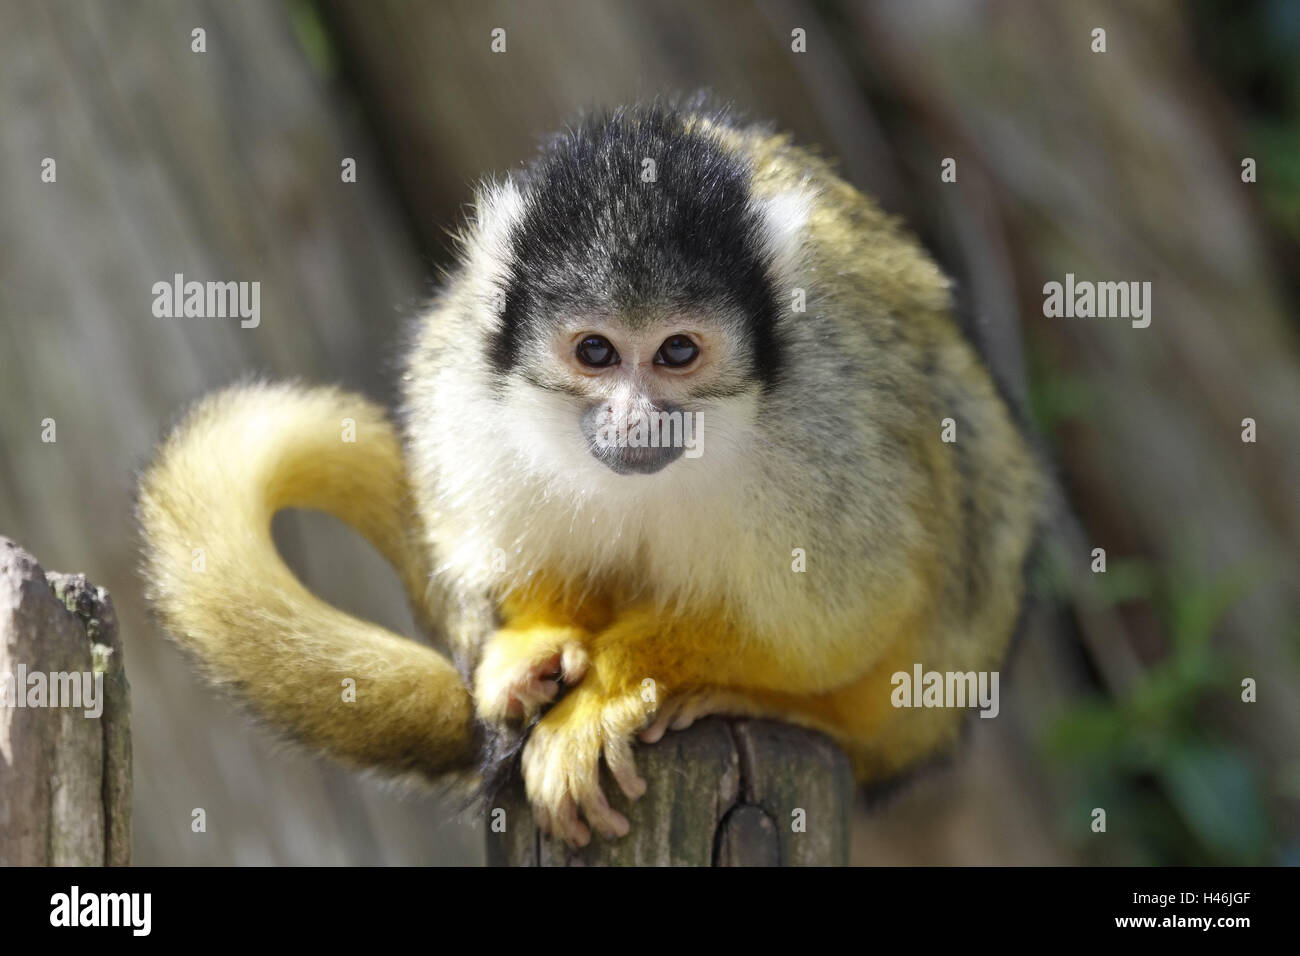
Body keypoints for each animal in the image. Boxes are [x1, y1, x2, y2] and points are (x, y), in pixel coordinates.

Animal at [137, 101, 1045, 848]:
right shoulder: (466, 378)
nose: (635, 420)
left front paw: (609, 686)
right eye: (596, 352)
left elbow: (841, 617)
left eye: (677, 352)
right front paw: (533, 647)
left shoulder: (831, 412)